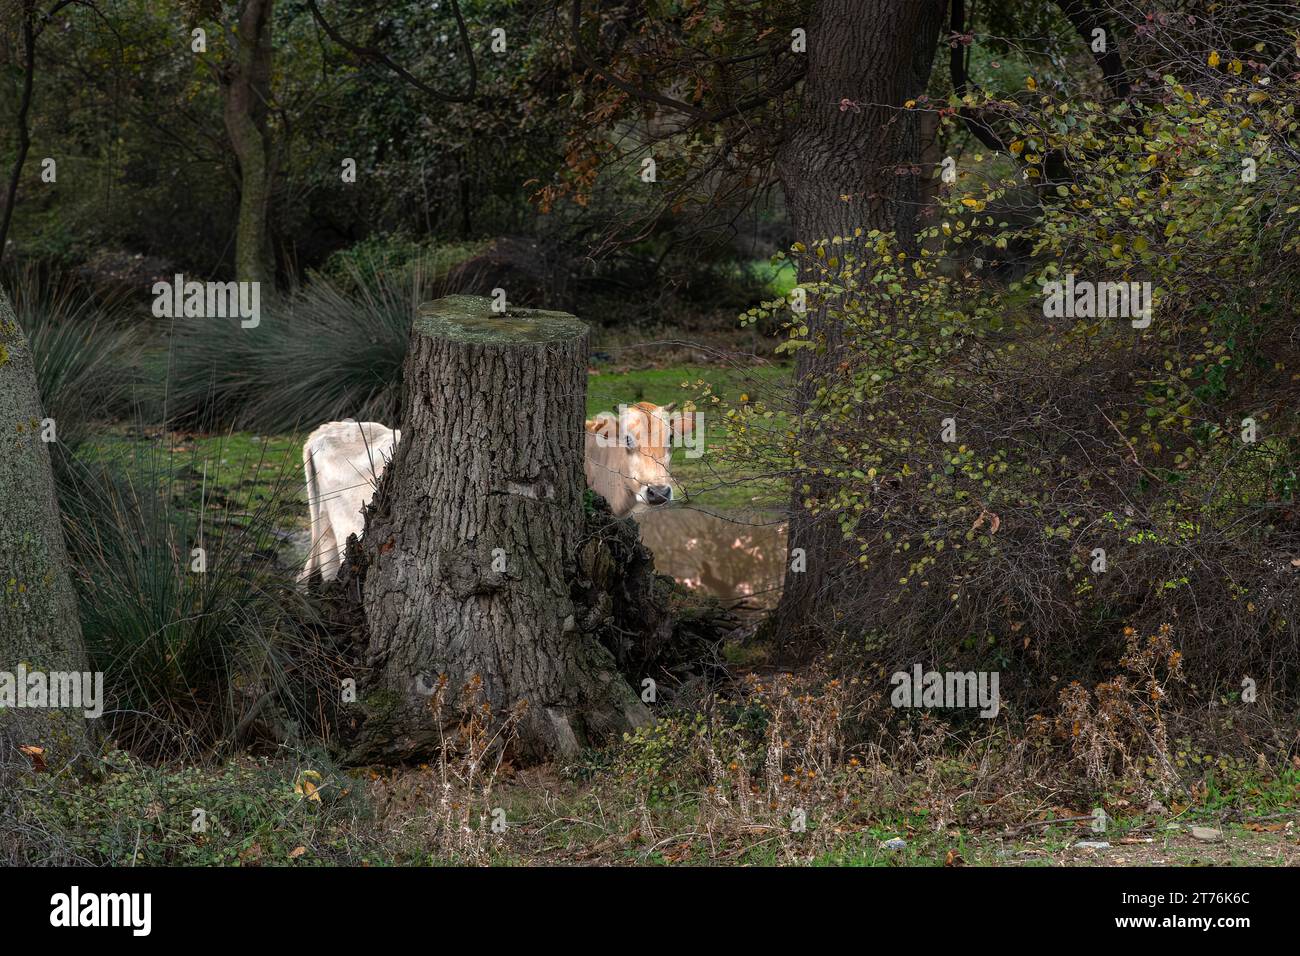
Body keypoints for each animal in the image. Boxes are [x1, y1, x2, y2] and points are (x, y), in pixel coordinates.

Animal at [300, 402, 692, 581]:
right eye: (627, 440)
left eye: (671, 439)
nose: (659, 492)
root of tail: (325, 430)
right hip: (346, 526)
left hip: (326, 528)